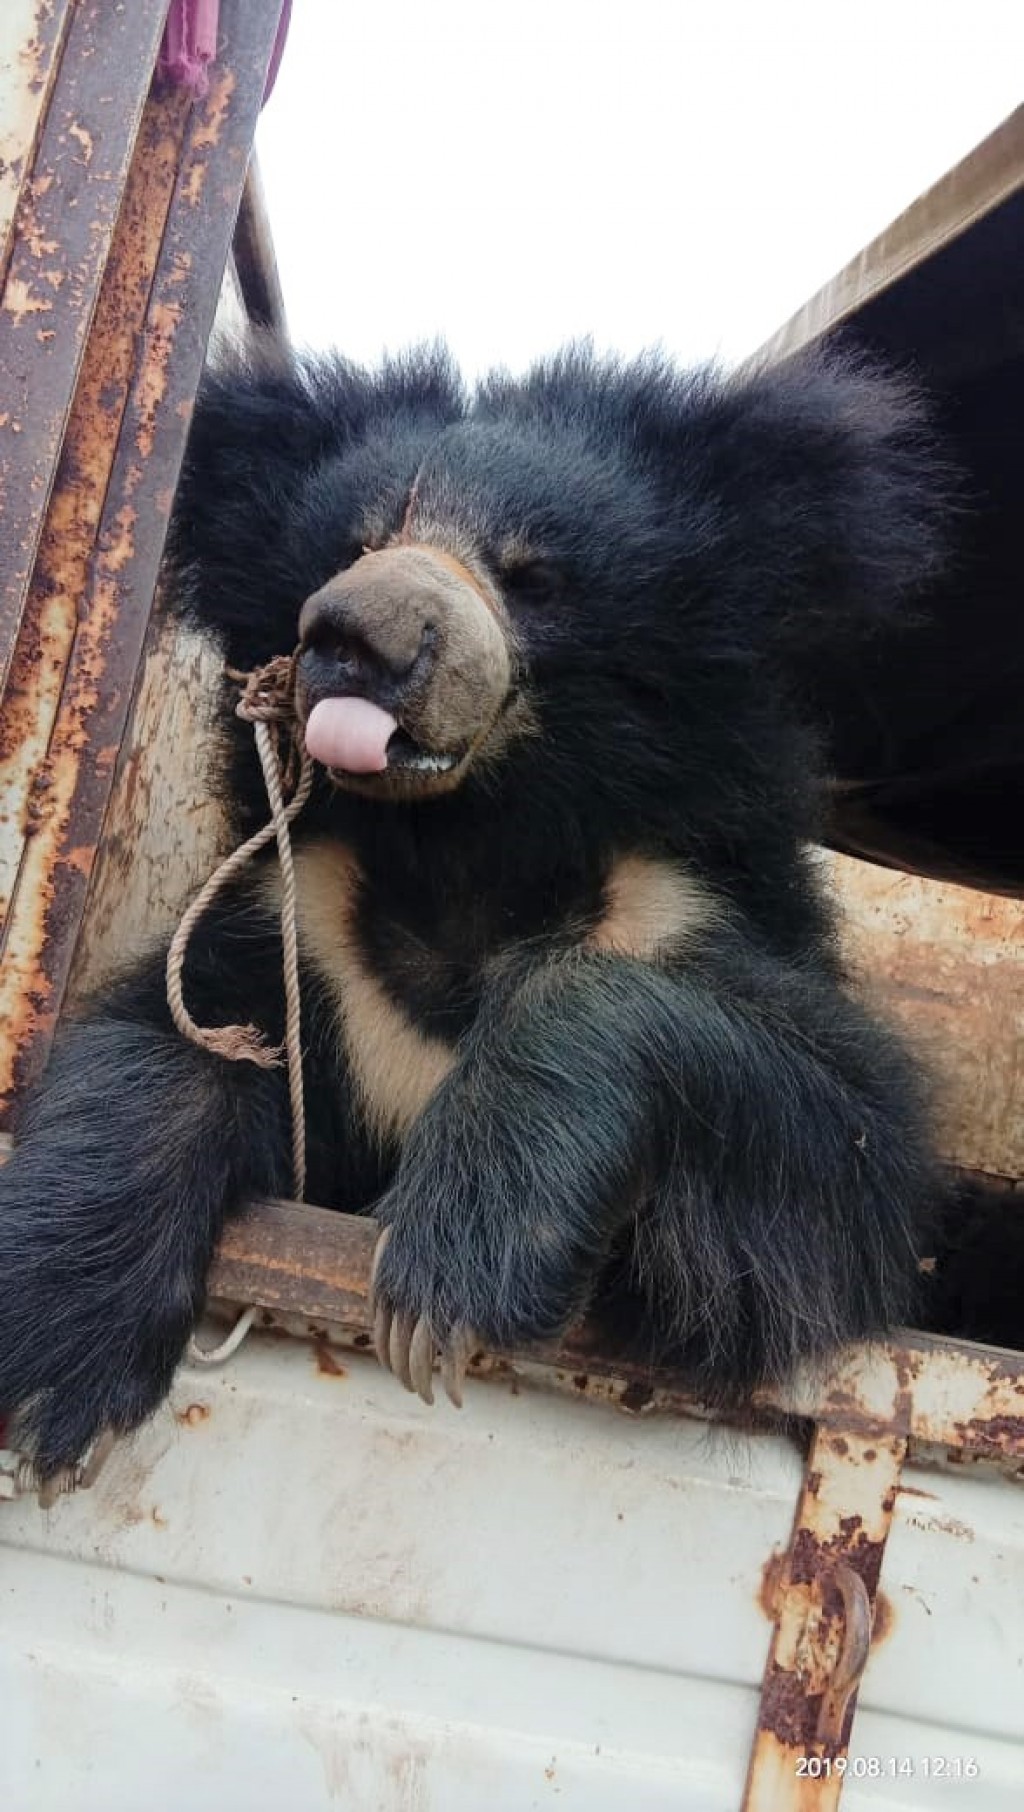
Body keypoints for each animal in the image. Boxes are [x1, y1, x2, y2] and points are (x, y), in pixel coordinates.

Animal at [0, 340, 963, 1476]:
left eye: (532, 574)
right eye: (357, 543)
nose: (354, 638)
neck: (468, 846)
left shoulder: (683, 904)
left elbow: (837, 1169)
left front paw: (445, 1281)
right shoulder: (306, 928)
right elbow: (175, 1041)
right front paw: (51, 1352)